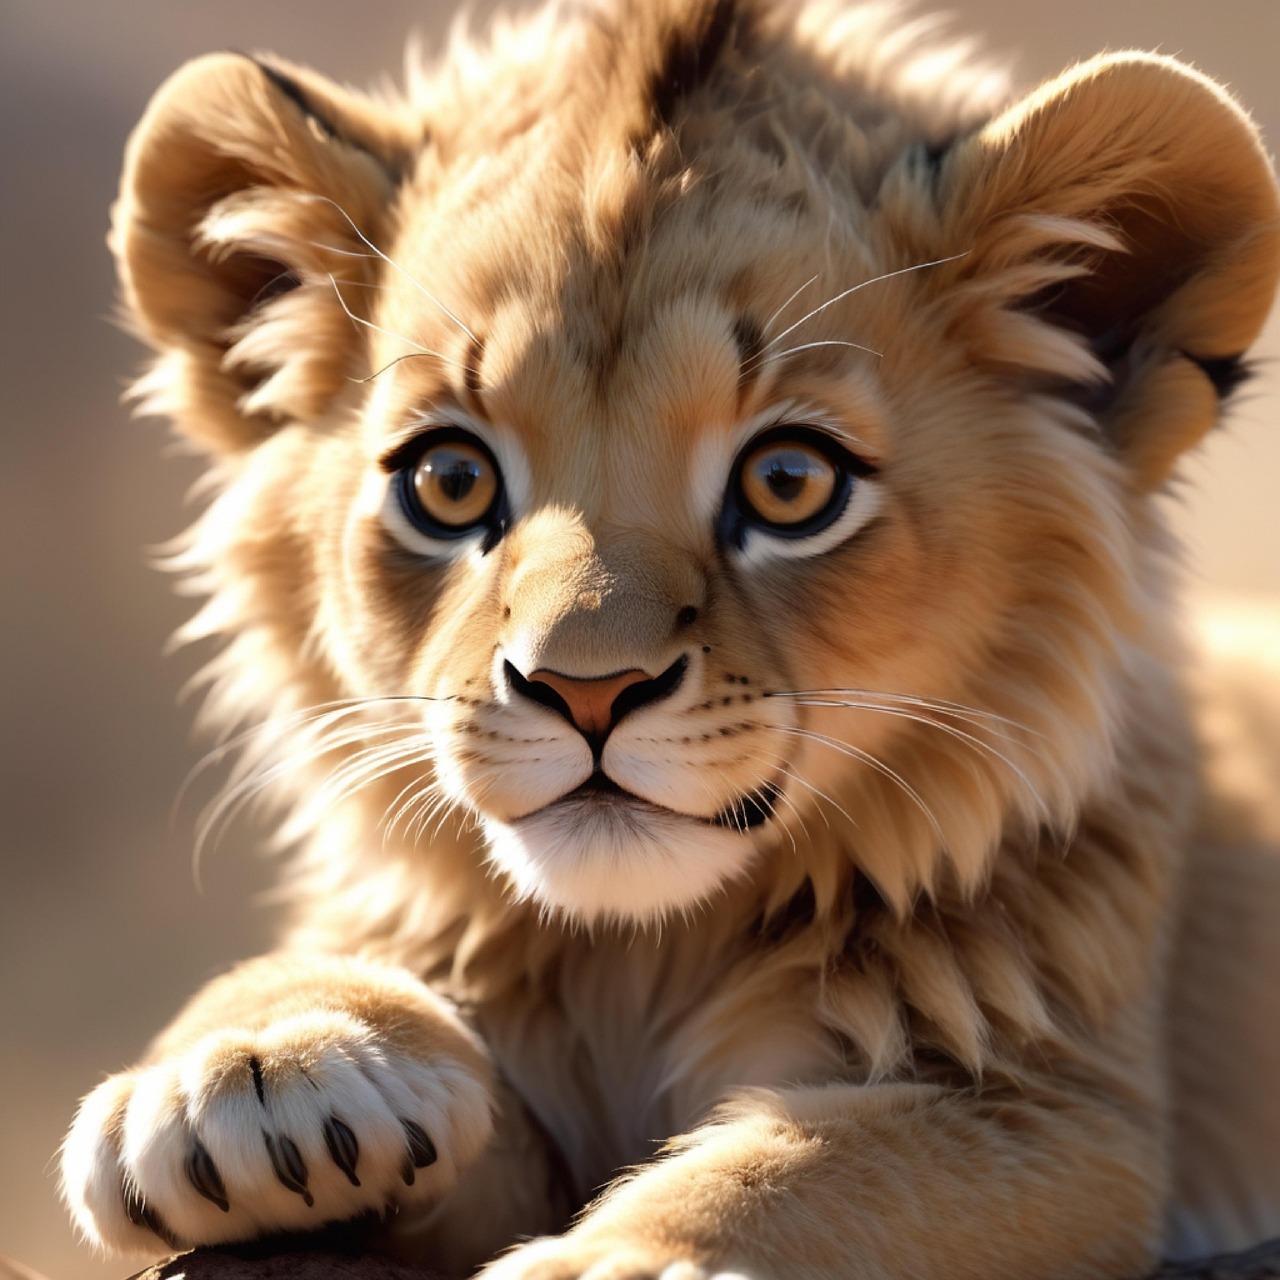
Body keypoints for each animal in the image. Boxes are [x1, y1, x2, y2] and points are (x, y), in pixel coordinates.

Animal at [60, 0, 1280, 1276]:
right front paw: (254, 1062)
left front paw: (612, 1260)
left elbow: (819, 1167)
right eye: (449, 479)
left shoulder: (1053, 1106)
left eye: (789, 482)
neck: (636, 958)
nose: (584, 690)